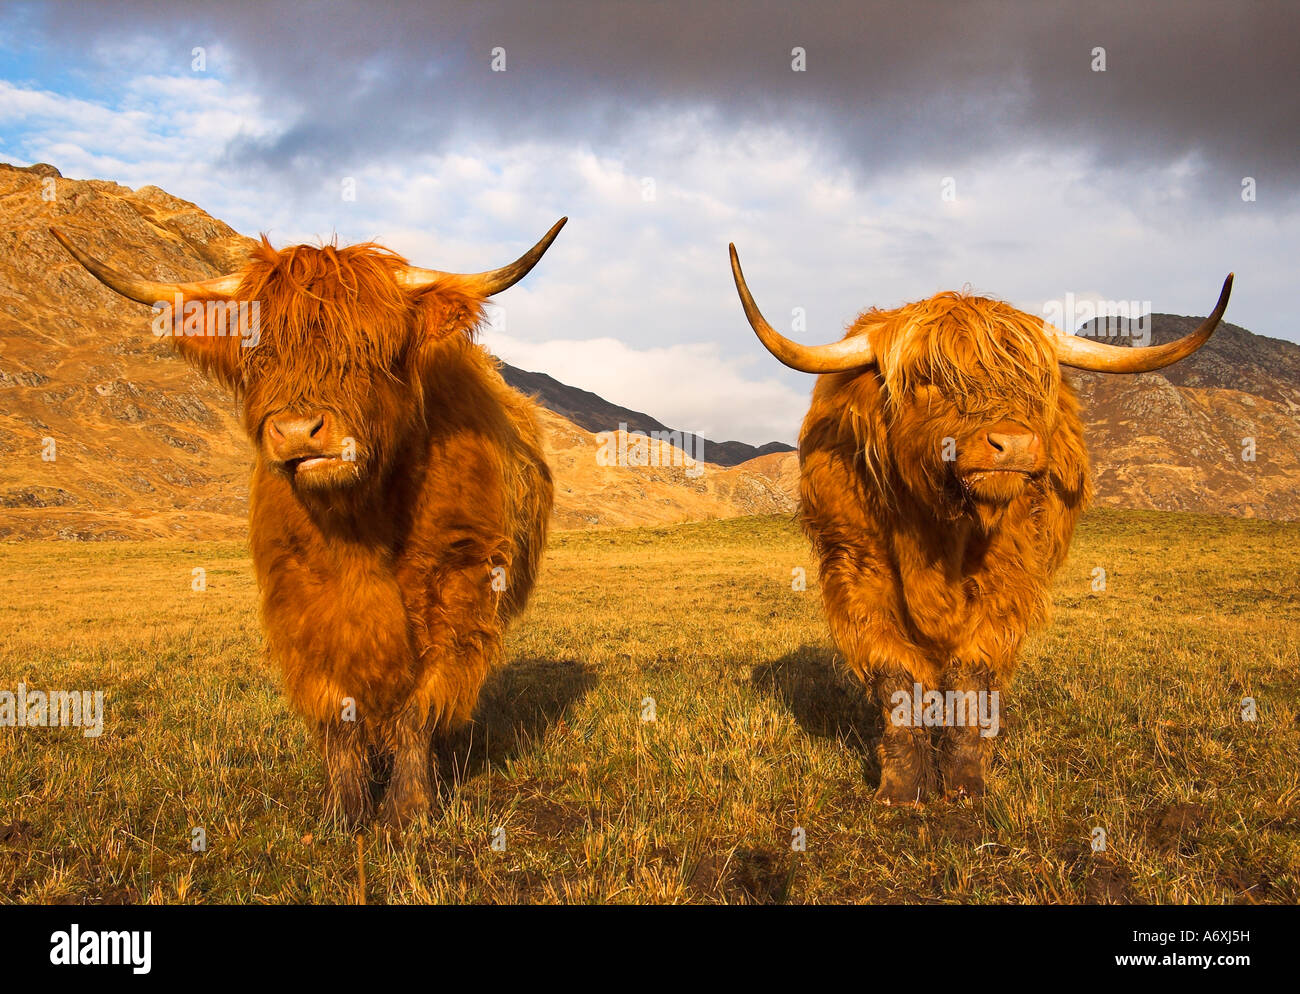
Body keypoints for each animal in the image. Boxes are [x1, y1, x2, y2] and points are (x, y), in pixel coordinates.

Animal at [51, 219, 566, 828]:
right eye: (257, 352)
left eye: (370, 347)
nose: (299, 431)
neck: (360, 526)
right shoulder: (299, 596)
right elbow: (335, 706)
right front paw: (344, 808)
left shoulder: (459, 582)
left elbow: (421, 701)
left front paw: (408, 808)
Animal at [729, 244, 1232, 804]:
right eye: (928, 379)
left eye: (1030, 381)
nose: (1013, 443)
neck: (937, 533)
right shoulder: (859, 573)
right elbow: (895, 675)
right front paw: (901, 786)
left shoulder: (1007, 576)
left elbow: (973, 673)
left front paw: (965, 781)